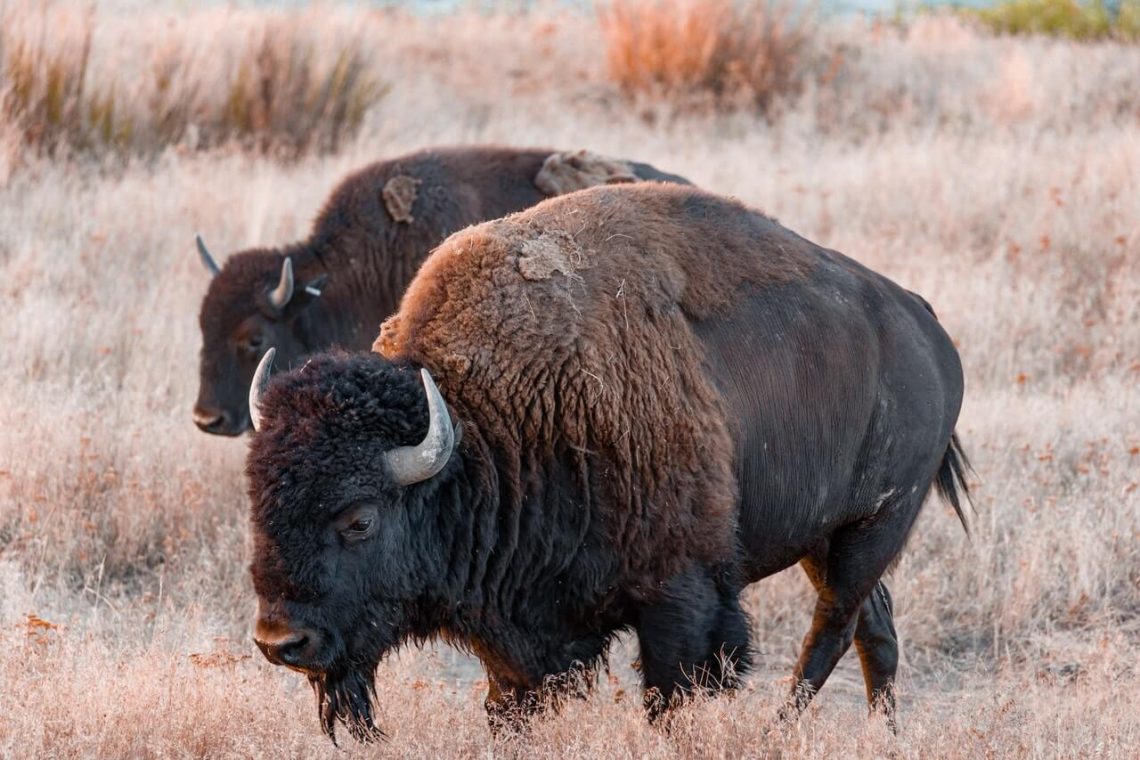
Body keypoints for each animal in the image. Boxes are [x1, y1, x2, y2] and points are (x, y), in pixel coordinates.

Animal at [244, 183, 970, 741]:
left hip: (874, 526)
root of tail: (925, 324)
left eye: (360, 519)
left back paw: (780, 730)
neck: (487, 425)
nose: (281, 642)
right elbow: (510, 705)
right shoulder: (520, 636)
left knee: (833, 629)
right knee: (874, 628)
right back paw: (884, 734)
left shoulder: (682, 599)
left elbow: (672, 698)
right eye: (258, 505)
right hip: (827, 537)